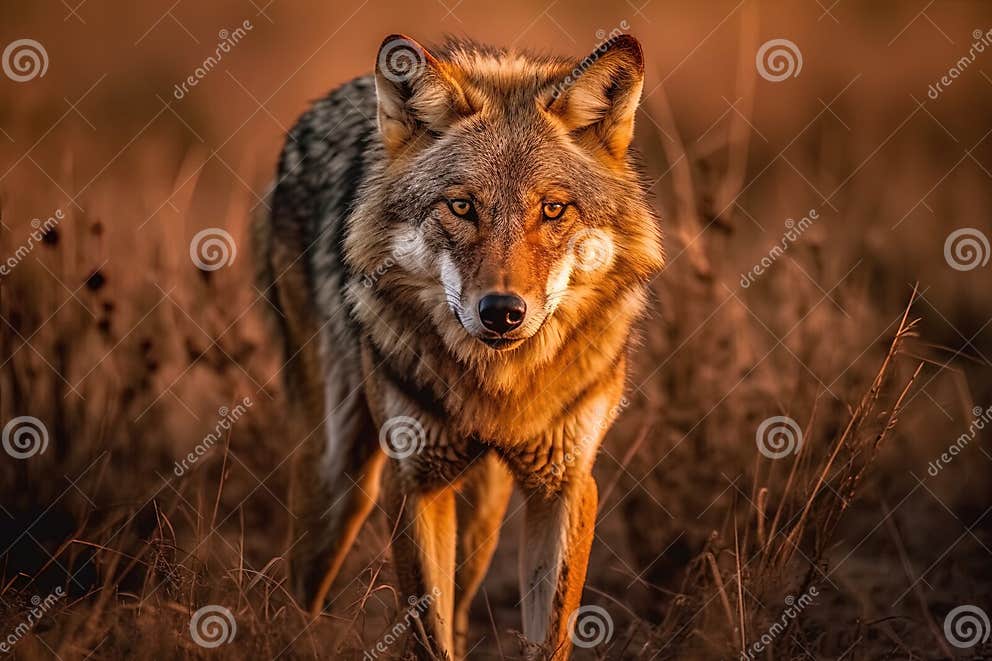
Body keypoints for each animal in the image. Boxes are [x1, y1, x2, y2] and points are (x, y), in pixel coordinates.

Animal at [254, 32, 664, 660]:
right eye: (462, 206)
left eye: (552, 209)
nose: (502, 312)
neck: (498, 387)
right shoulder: (416, 484)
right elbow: (429, 635)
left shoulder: (565, 486)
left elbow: (546, 637)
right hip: (343, 483)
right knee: (300, 582)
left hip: (483, 519)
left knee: (465, 605)